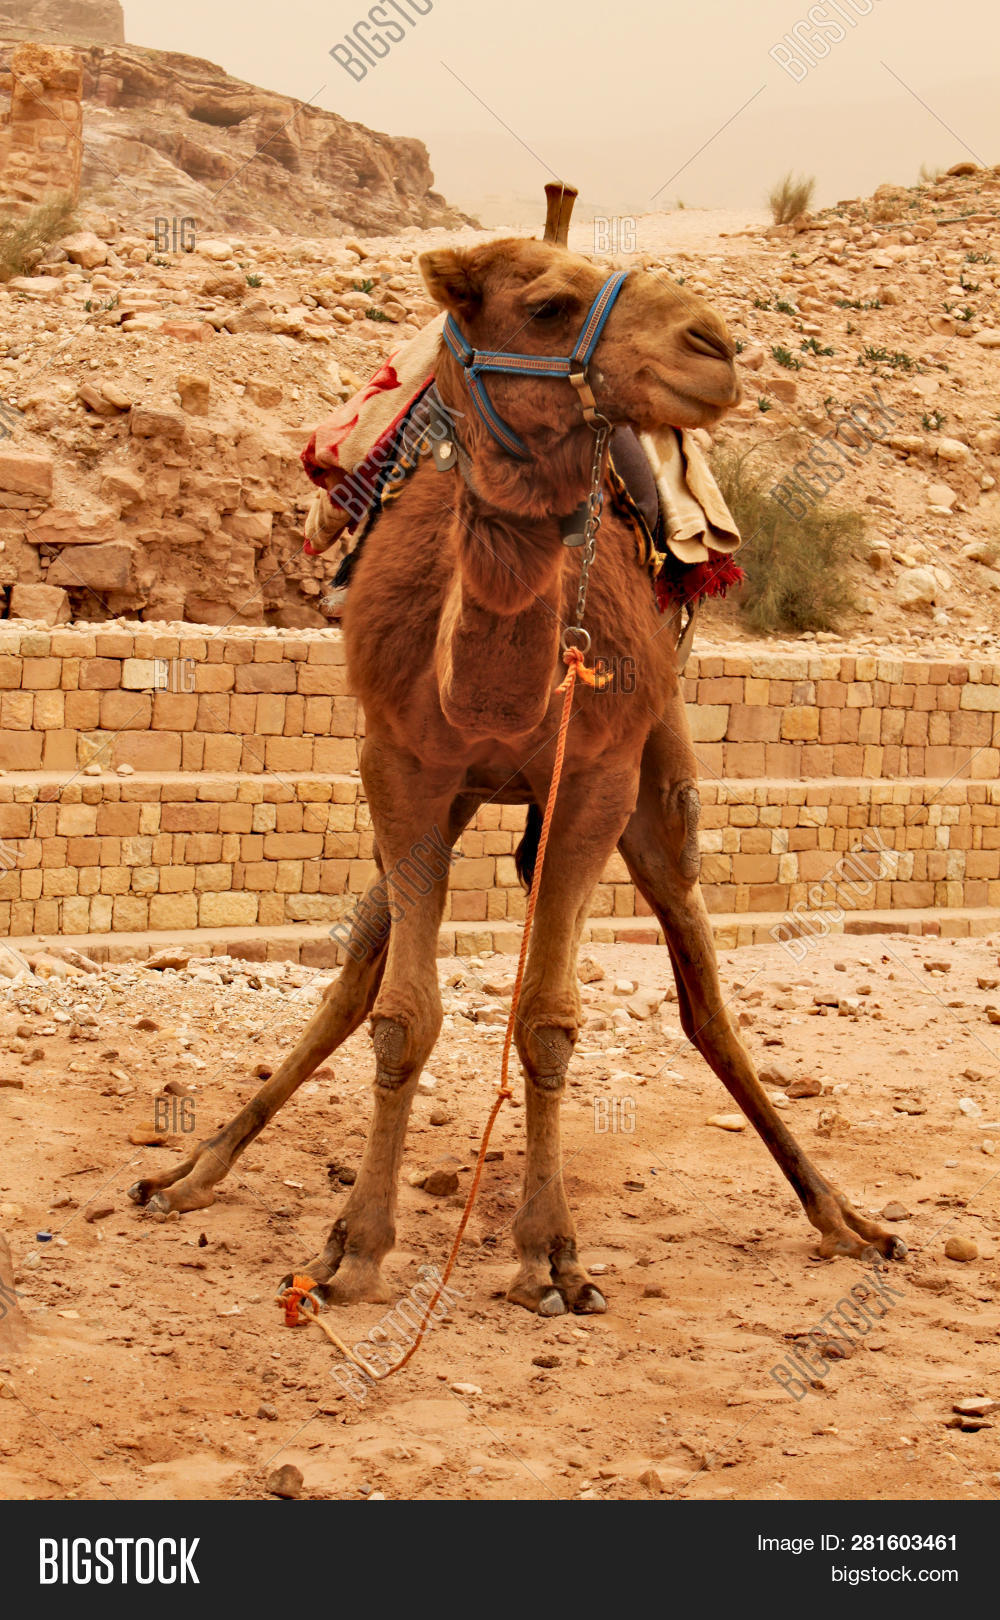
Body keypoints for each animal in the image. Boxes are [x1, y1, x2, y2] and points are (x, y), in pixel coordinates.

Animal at [129, 203, 905, 1316]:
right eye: (546, 306)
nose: (713, 348)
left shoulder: (594, 778)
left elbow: (547, 1020)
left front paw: (551, 1253)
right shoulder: (401, 765)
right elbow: (401, 1013)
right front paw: (355, 1248)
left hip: (659, 778)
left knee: (704, 995)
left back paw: (841, 1215)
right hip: (441, 793)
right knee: (354, 976)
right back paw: (194, 1171)